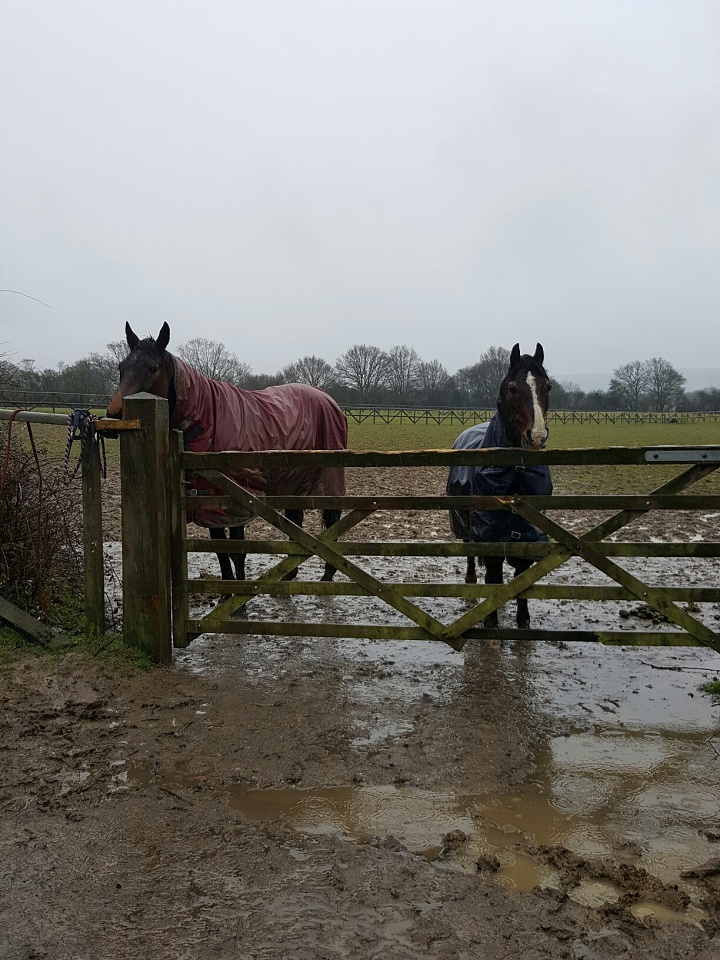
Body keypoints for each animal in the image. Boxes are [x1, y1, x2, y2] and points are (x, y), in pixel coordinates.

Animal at [106, 322, 348, 584]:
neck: (206, 416)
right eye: (121, 367)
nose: (114, 416)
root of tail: (329, 400)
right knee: (297, 523)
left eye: (152, 368)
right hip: (293, 484)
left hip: (327, 482)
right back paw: (288, 576)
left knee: (332, 522)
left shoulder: (236, 503)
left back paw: (326, 578)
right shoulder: (209, 505)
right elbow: (221, 551)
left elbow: (237, 552)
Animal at [446, 343, 552, 628]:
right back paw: (471, 583)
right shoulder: (488, 531)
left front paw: (523, 620)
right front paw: (490, 621)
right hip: (465, 523)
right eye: (513, 388)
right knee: (471, 553)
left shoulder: (527, 531)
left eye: (547, 387)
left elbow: (521, 576)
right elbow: (492, 575)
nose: (536, 437)